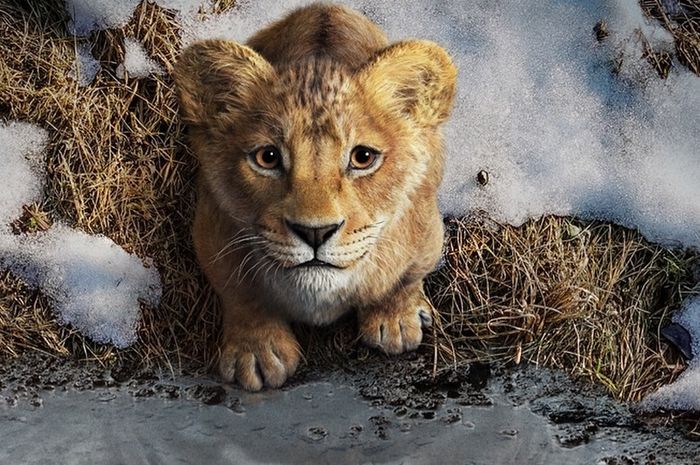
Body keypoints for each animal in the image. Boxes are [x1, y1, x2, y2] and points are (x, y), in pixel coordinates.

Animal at [174, 3, 457, 391]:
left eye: (363, 157)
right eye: (267, 157)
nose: (315, 232)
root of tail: (325, 7)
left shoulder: (427, 232)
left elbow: (404, 279)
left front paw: (396, 321)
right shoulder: (211, 231)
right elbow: (240, 293)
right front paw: (256, 352)